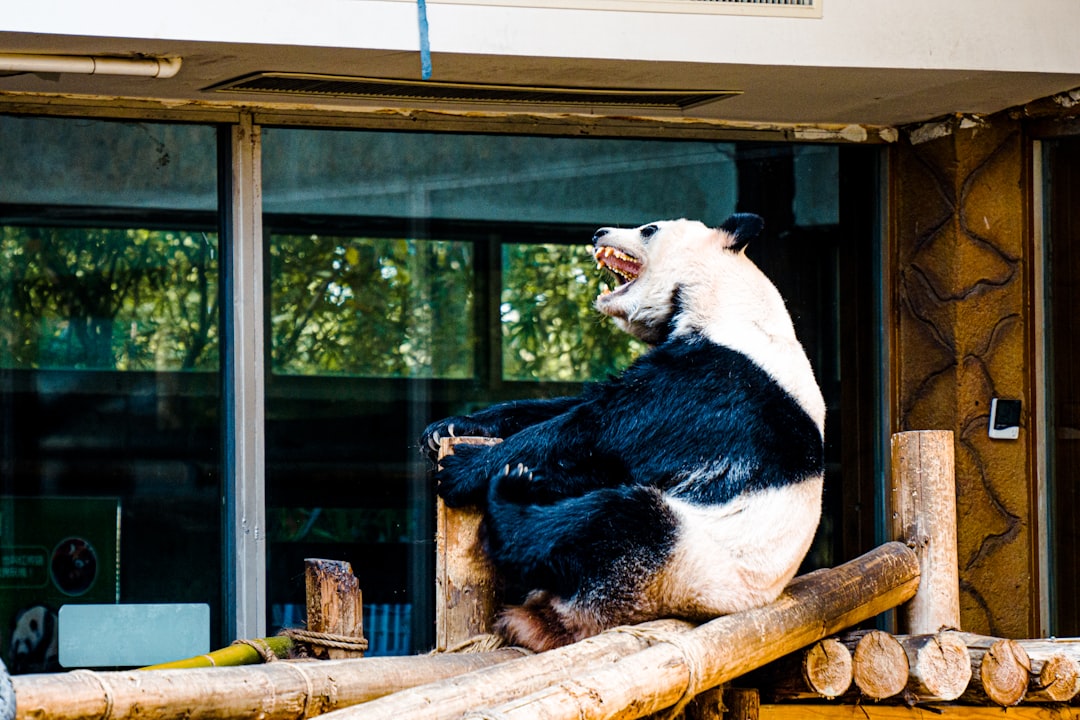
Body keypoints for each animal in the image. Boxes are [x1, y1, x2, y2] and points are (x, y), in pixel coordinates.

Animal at [421, 213, 825, 652]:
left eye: (649, 229)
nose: (598, 233)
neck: (728, 298)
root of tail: (573, 621)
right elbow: (571, 407)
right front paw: (449, 427)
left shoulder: (721, 382)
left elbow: (600, 433)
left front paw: (465, 468)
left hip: (676, 563)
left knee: (609, 522)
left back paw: (510, 494)